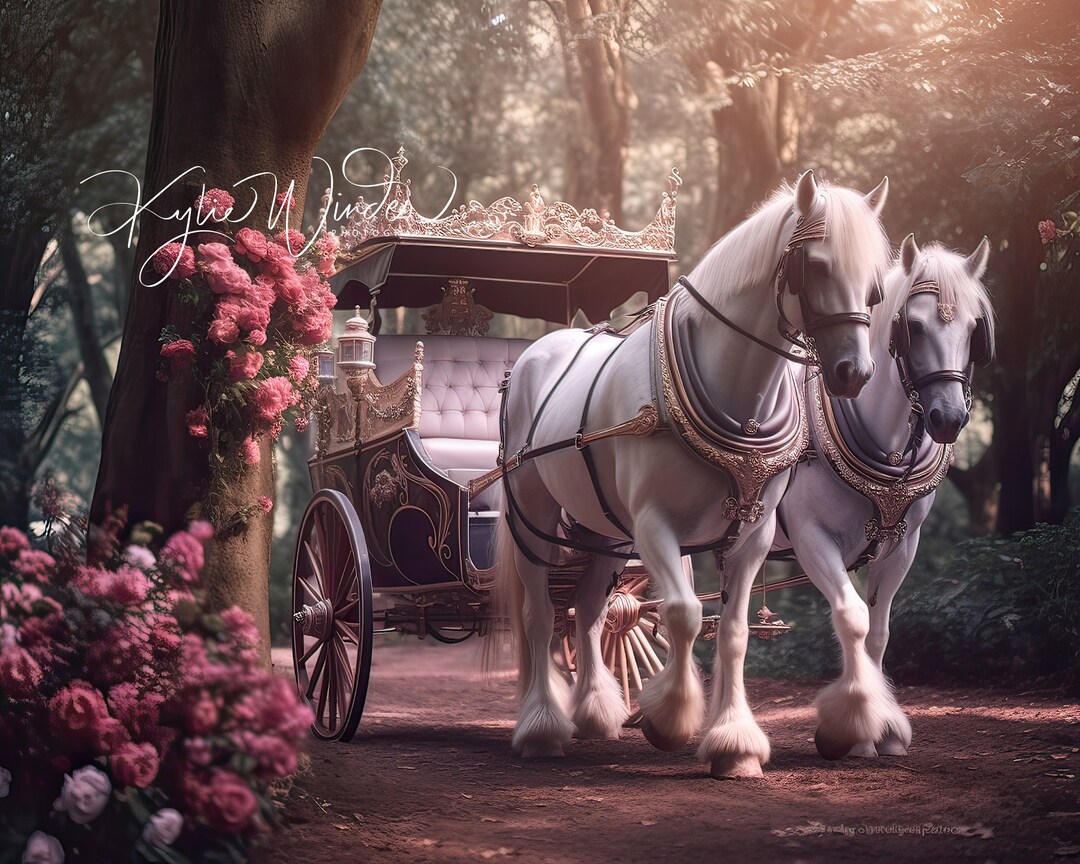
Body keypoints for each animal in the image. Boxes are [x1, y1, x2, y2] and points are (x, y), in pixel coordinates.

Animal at [490, 169, 892, 777]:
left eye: (874, 283)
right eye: (817, 266)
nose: (854, 373)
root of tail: (532, 356)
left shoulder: (752, 534)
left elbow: (733, 632)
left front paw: (735, 743)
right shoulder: (654, 524)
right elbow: (681, 614)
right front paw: (670, 718)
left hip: (603, 528)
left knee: (589, 611)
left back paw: (596, 711)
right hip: (532, 511)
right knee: (540, 615)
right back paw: (542, 727)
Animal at [772, 233, 995, 760]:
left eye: (974, 328)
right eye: (913, 326)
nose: (948, 418)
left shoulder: (901, 544)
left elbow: (878, 632)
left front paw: (883, 730)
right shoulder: (812, 538)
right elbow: (850, 617)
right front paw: (850, 725)